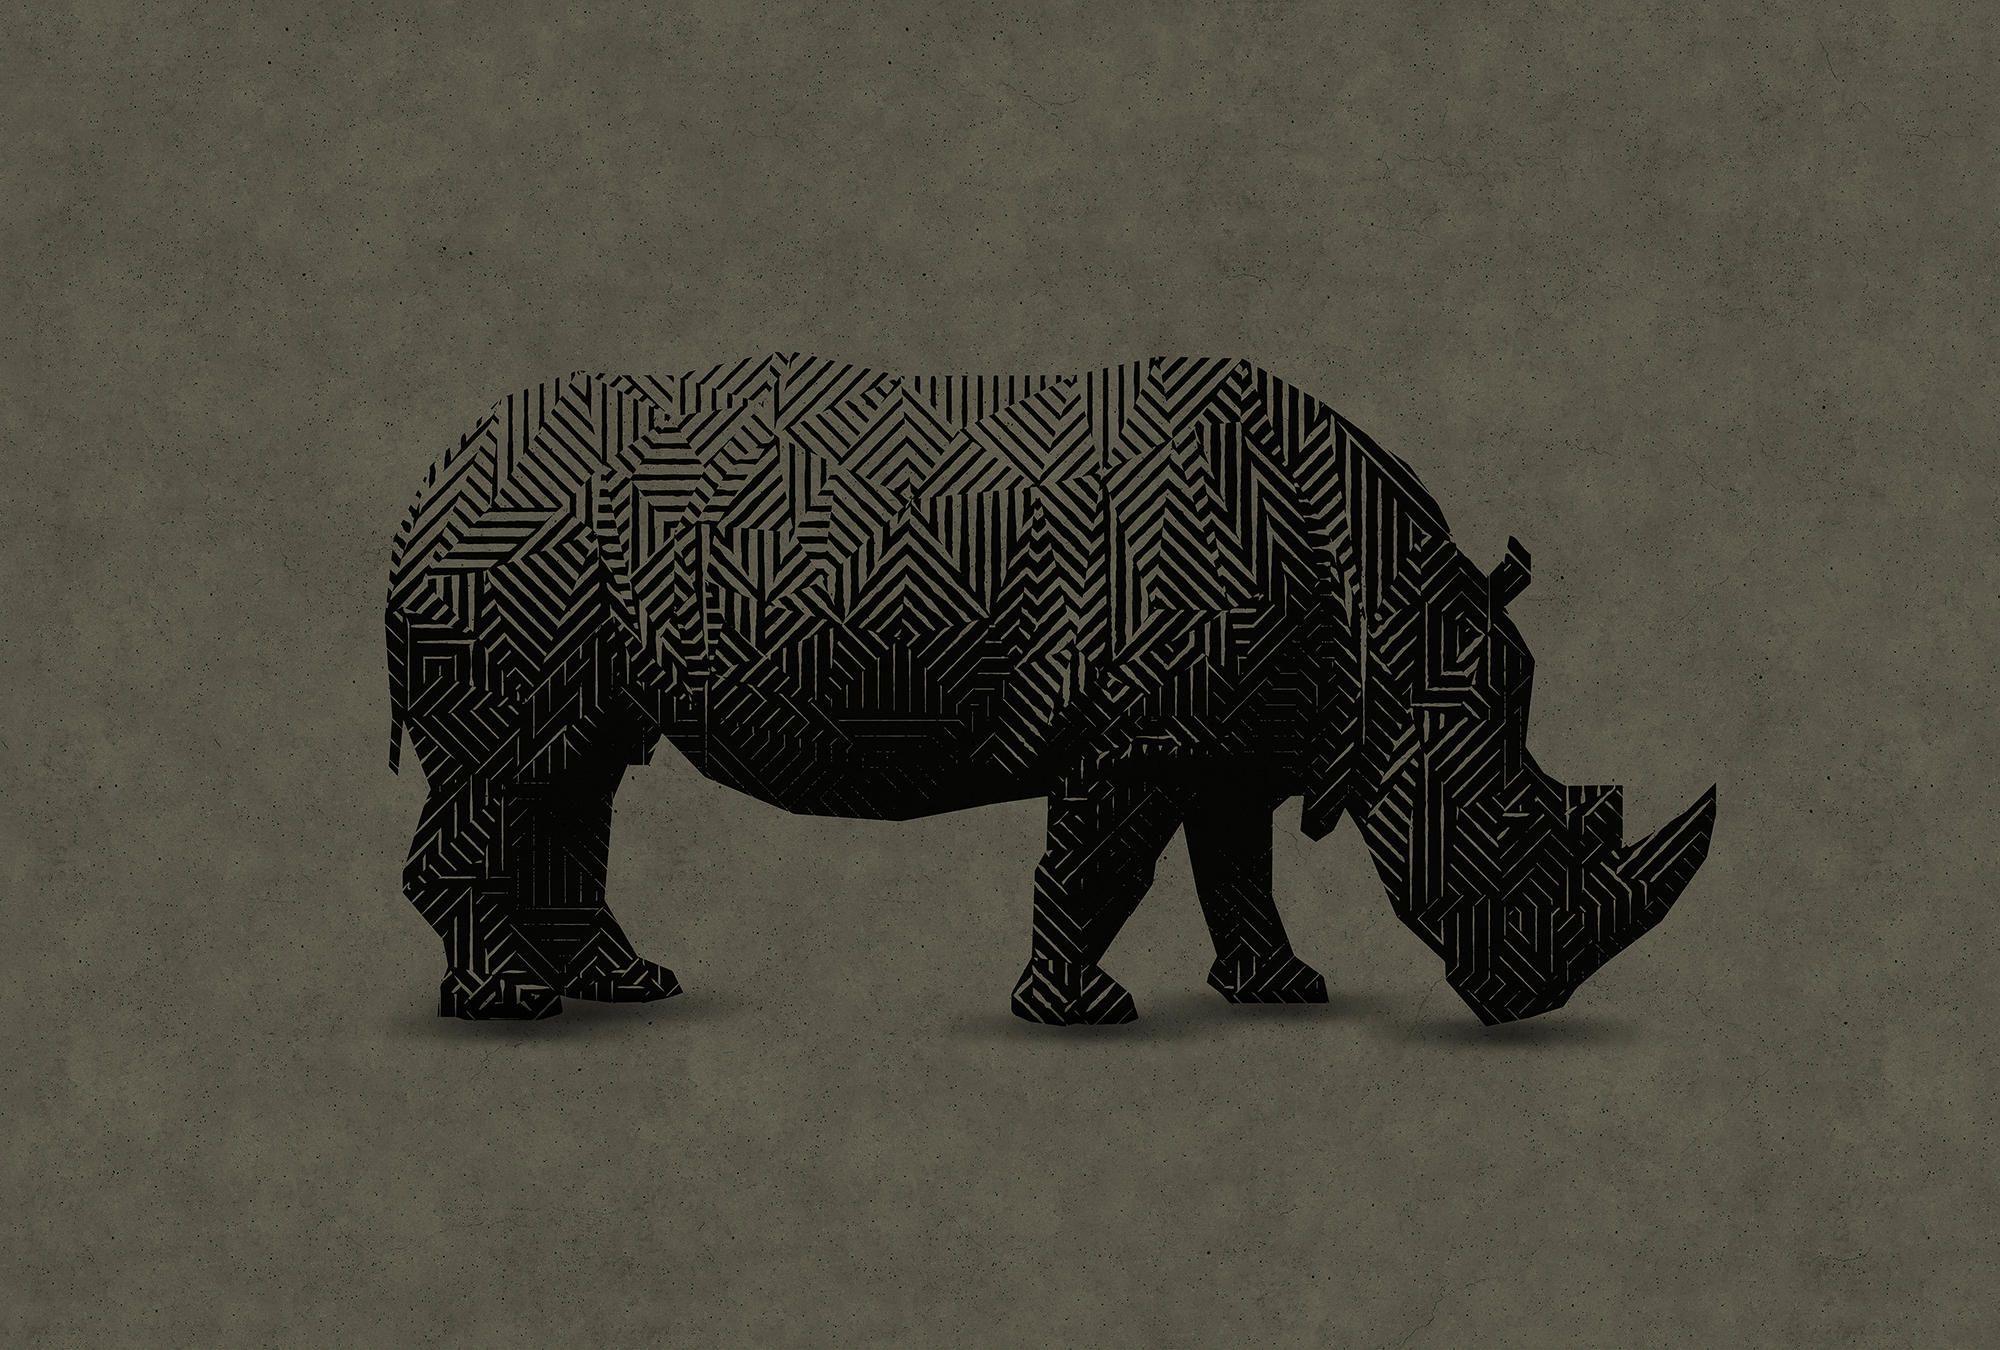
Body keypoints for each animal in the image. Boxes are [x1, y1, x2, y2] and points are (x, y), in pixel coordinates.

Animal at [386, 354, 1715, 1025]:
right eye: (1514, 822)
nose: (1532, 1002)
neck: (1394, 632)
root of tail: (429, 477)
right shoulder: (1143, 734)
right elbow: (1104, 868)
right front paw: (1084, 1013)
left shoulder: (1235, 730)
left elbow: (1237, 863)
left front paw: (1284, 992)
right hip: (511, 555)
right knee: (513, 767)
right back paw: (509, 1006)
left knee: (579, 767)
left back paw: (625, 987)